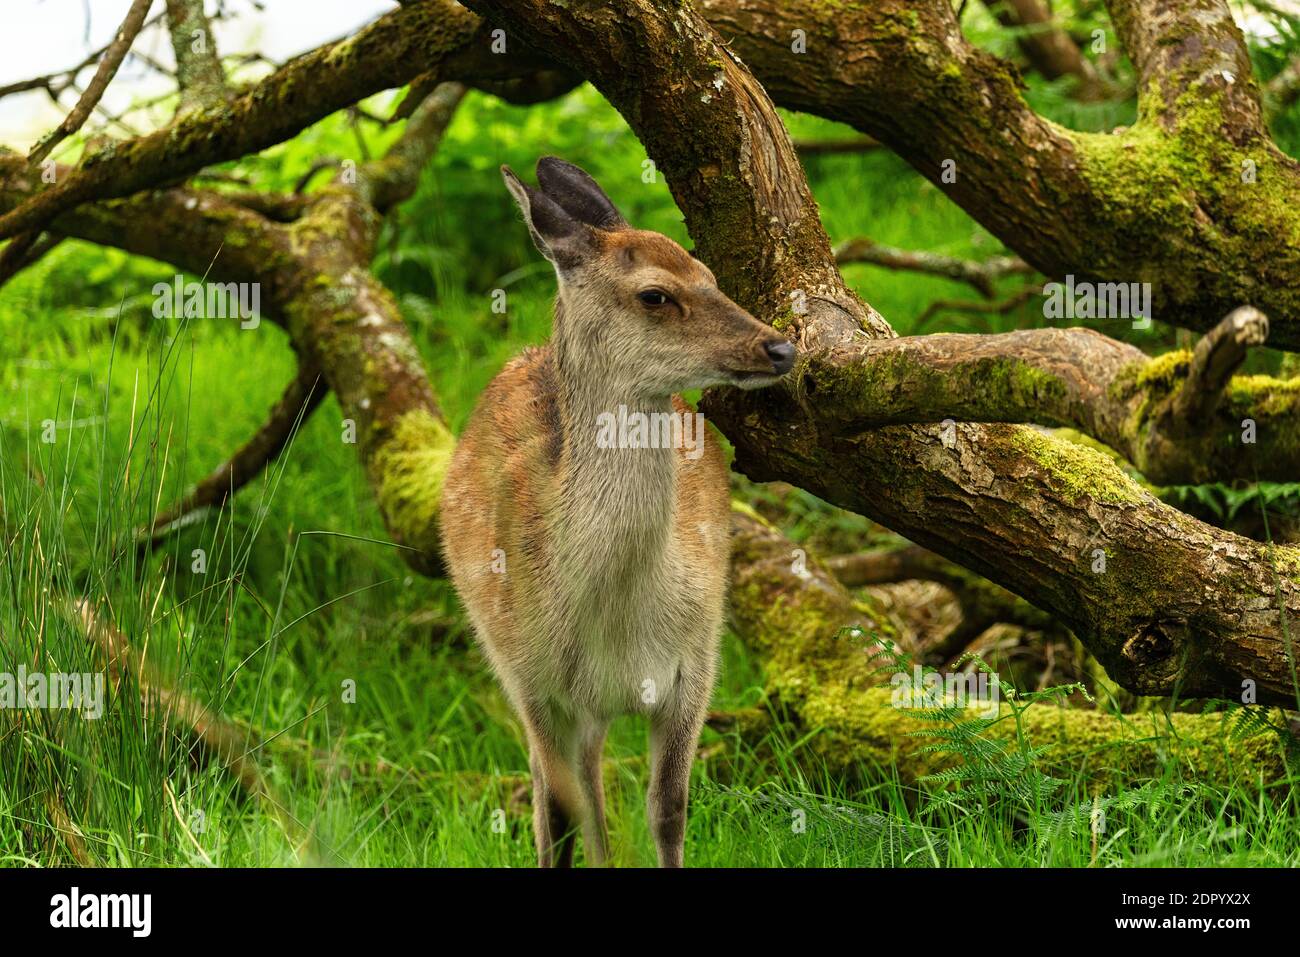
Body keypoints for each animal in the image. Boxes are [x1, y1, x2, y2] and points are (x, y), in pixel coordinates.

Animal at [439, 157, 795, 867]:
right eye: (655, 294)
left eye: (710, 274)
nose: (781, 349)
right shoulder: (531, 678)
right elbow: (557, 815)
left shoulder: (697, 664)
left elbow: (668, 811)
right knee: (565, 792)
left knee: (597, 784)